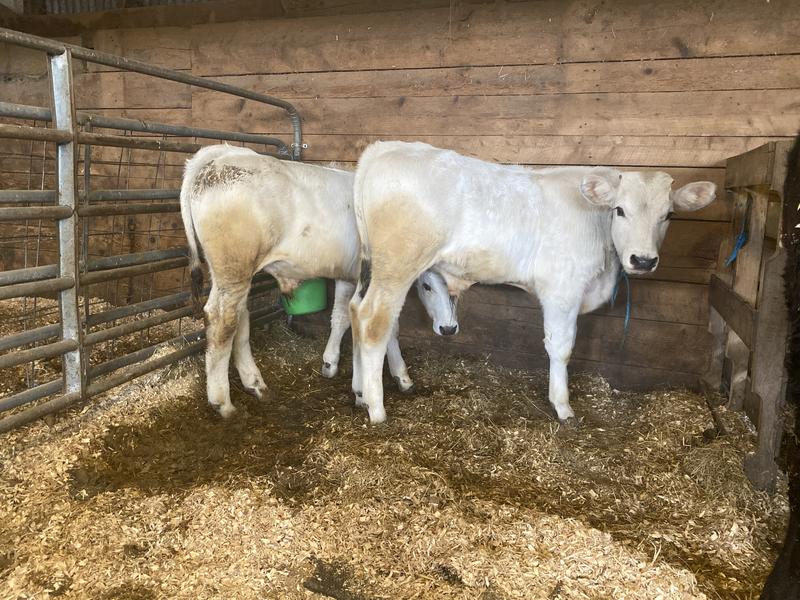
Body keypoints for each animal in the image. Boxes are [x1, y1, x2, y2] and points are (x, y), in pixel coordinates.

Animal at [179, 144, 457, 418]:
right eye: (427, 286)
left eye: (455, 292)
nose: (448, 328)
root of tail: (222, 155)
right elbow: (387, 327)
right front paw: (400, 377)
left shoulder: (348, 277)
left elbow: (341, 318)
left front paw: (331, 363)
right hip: (233, 268)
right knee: (223, 321)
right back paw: (222, 401)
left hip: (232, 274)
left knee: (240, 318)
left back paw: (255, 383)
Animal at [349, 141, 716, 425]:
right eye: (620, 210)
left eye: (669, 215)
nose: (642, 260)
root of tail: (384, 148)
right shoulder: (562, 290)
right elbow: (561, 347)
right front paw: (563, 406)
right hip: (397, 267)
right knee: (374, 323)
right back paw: (377, 409)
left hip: (376, 269)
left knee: (359, 313)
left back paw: (369, 389)